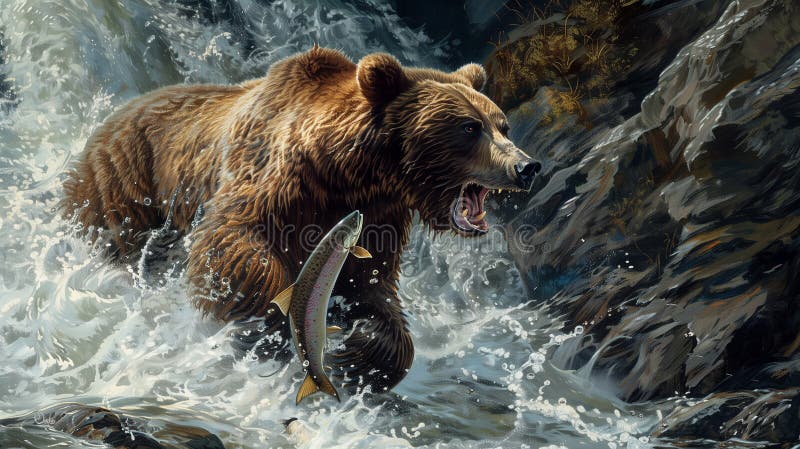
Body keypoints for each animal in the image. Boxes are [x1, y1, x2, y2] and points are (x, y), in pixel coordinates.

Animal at [62, 46, 541, 392]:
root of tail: (110, 119)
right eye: (468, 127)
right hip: (123, 183)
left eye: (502, 124)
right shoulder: (271, 183)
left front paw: (362, 353)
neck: (345, 172)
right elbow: (232, 247)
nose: (526, 166)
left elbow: (373, 284)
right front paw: (275, 325)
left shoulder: (378, 217)